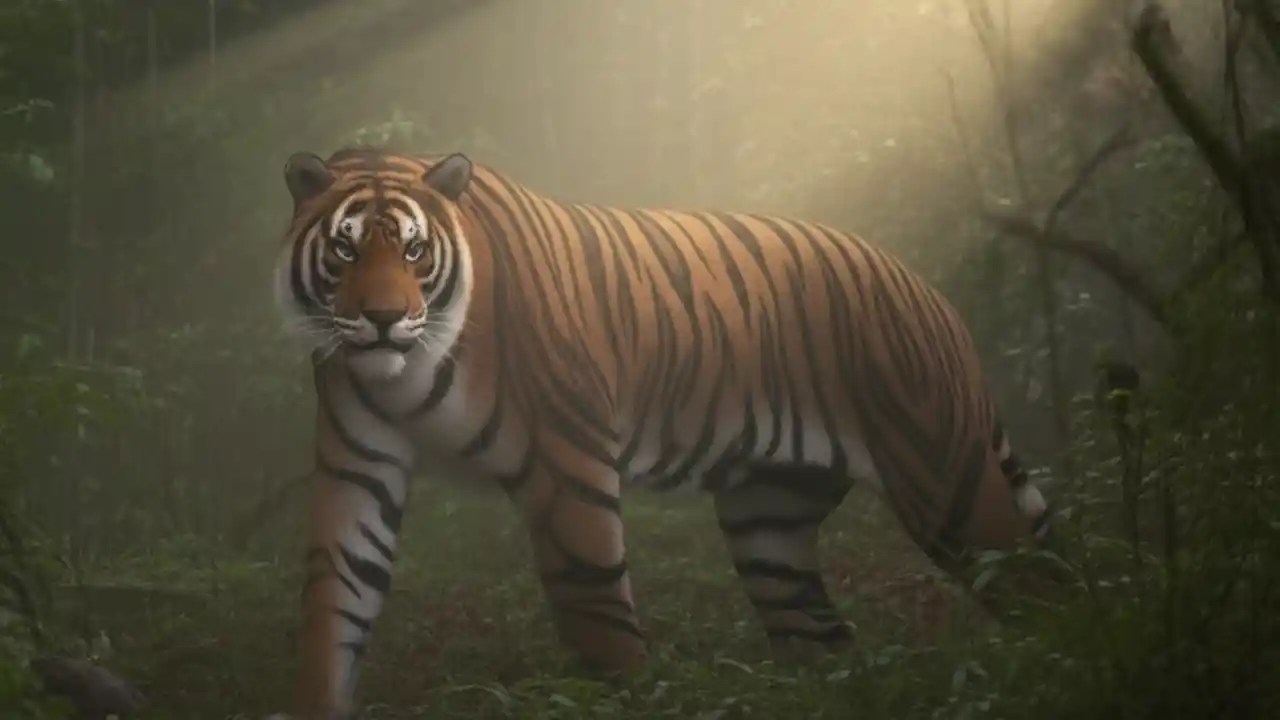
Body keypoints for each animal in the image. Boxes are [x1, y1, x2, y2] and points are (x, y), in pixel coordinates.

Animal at [273, 147, 1052, 719]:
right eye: (345, 251)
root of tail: (928, 291)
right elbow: (335, 602)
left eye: (413, 251)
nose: (381, 319)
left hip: (948, 485)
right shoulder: (356, 469)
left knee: (1039, 587)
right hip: (770, 526)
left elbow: (595, 613)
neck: (401, 375)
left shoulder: (568, 469)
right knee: (825, 641)